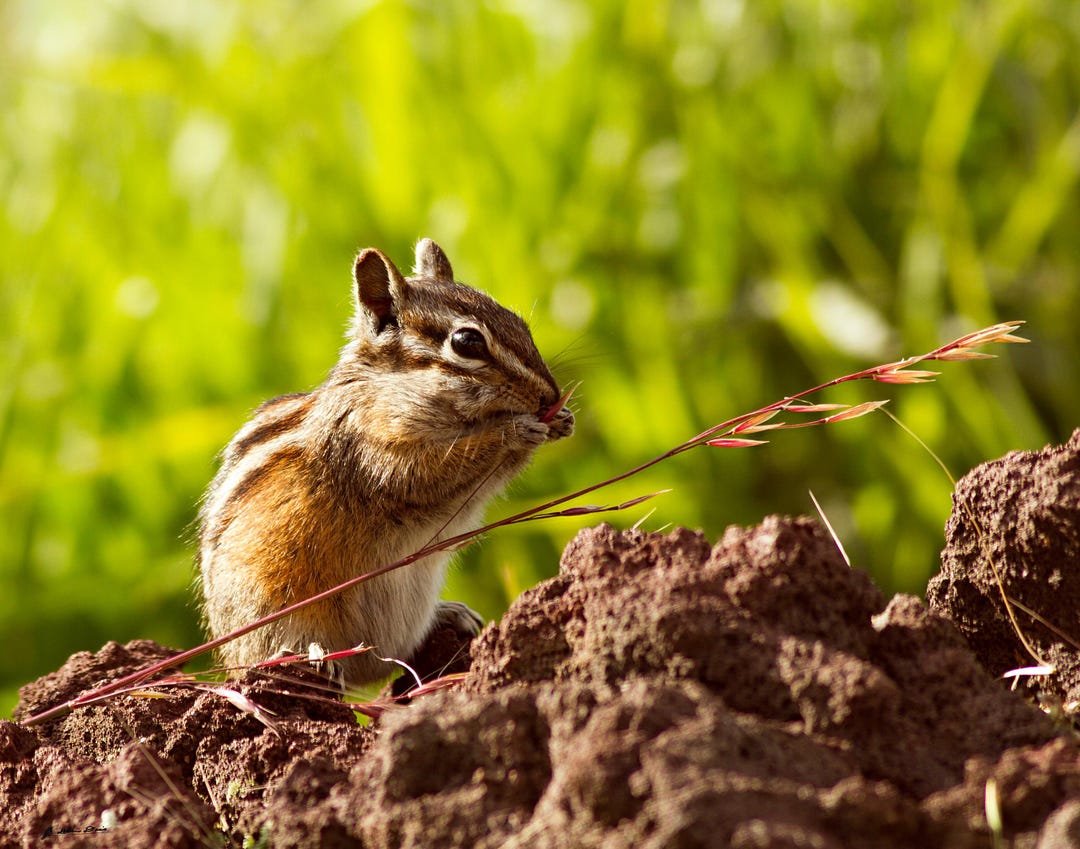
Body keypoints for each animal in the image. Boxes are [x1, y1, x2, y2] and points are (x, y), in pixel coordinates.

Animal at [197, 238, 574, 685]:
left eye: (519, 323)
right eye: (468, 342)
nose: (551, 397)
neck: (391, 387)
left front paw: (562, 421)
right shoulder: (374, 452)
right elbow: (433, 471)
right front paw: (517, 429)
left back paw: (451, 615)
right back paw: (311, 656)